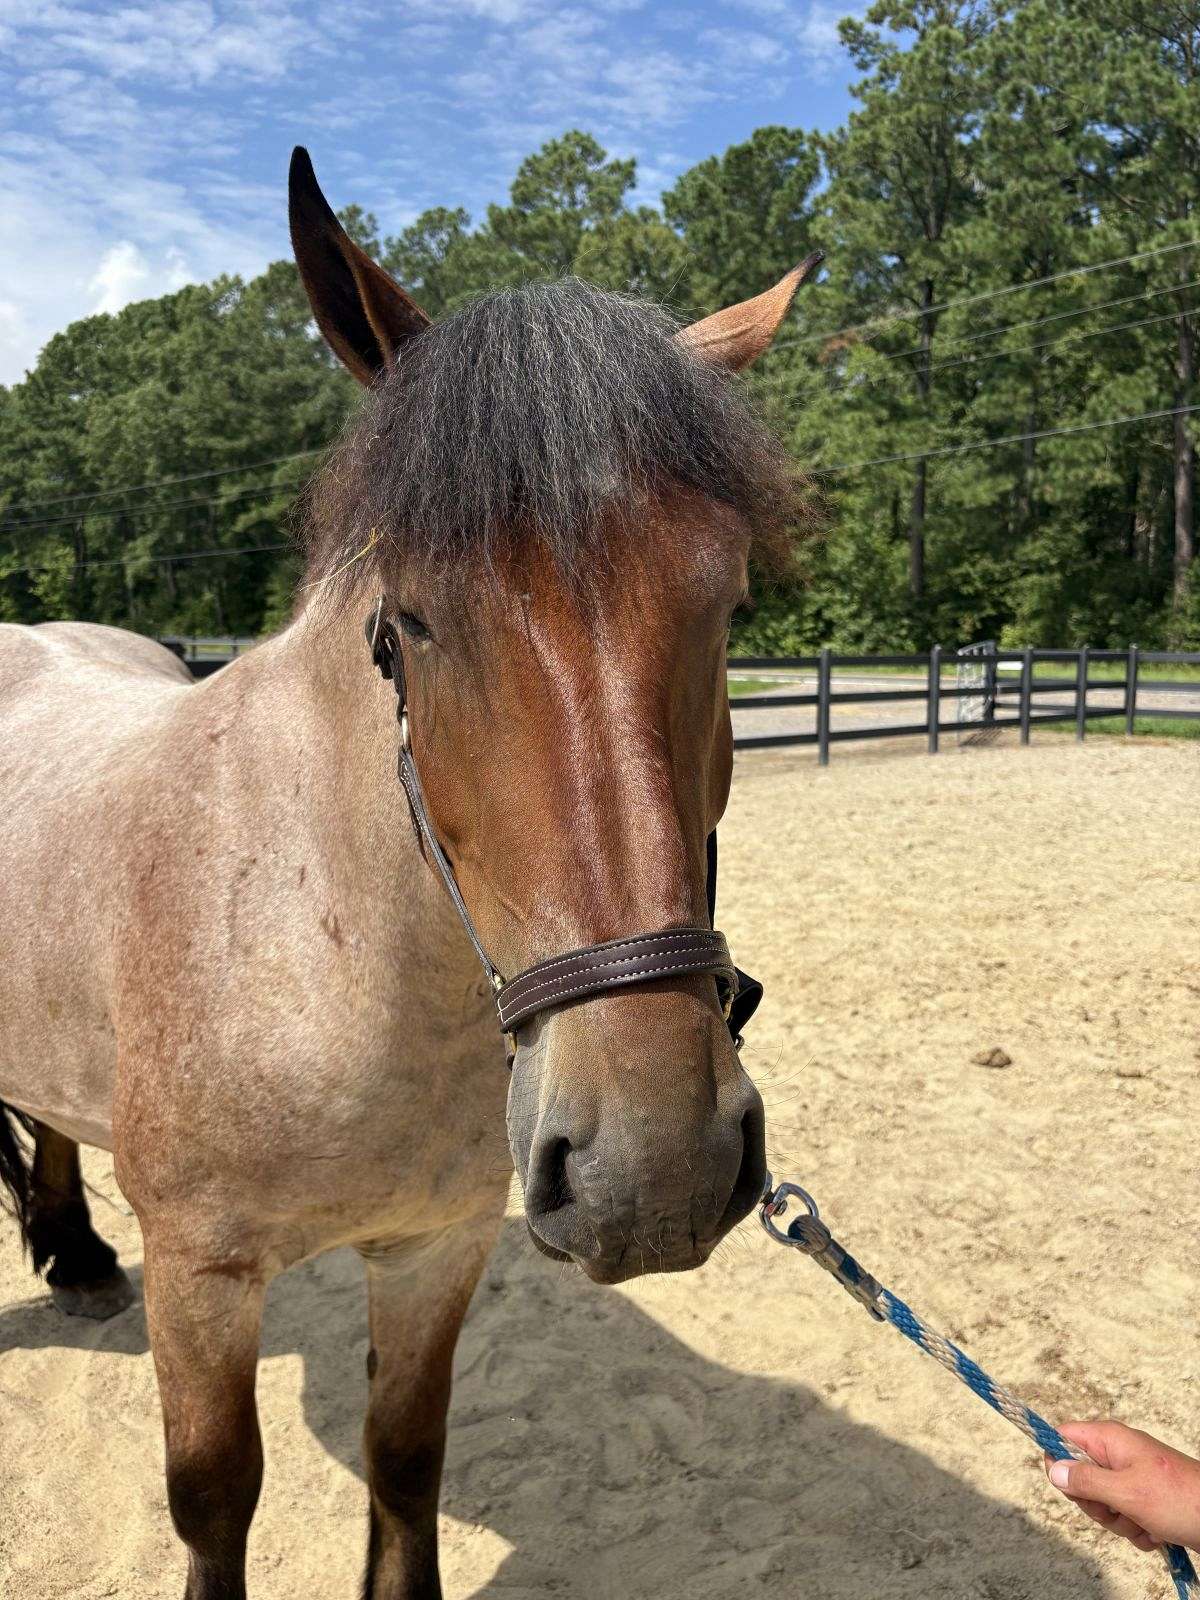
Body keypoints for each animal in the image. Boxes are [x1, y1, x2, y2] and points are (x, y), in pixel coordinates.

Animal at [0, 146, 818, 1600]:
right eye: (415, 621)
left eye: (726, 606)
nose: (655, 1169)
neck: (321, 956)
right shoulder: (203, 1278)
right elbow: (216, 1498)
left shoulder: (436, 1247)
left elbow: (405, 1461)